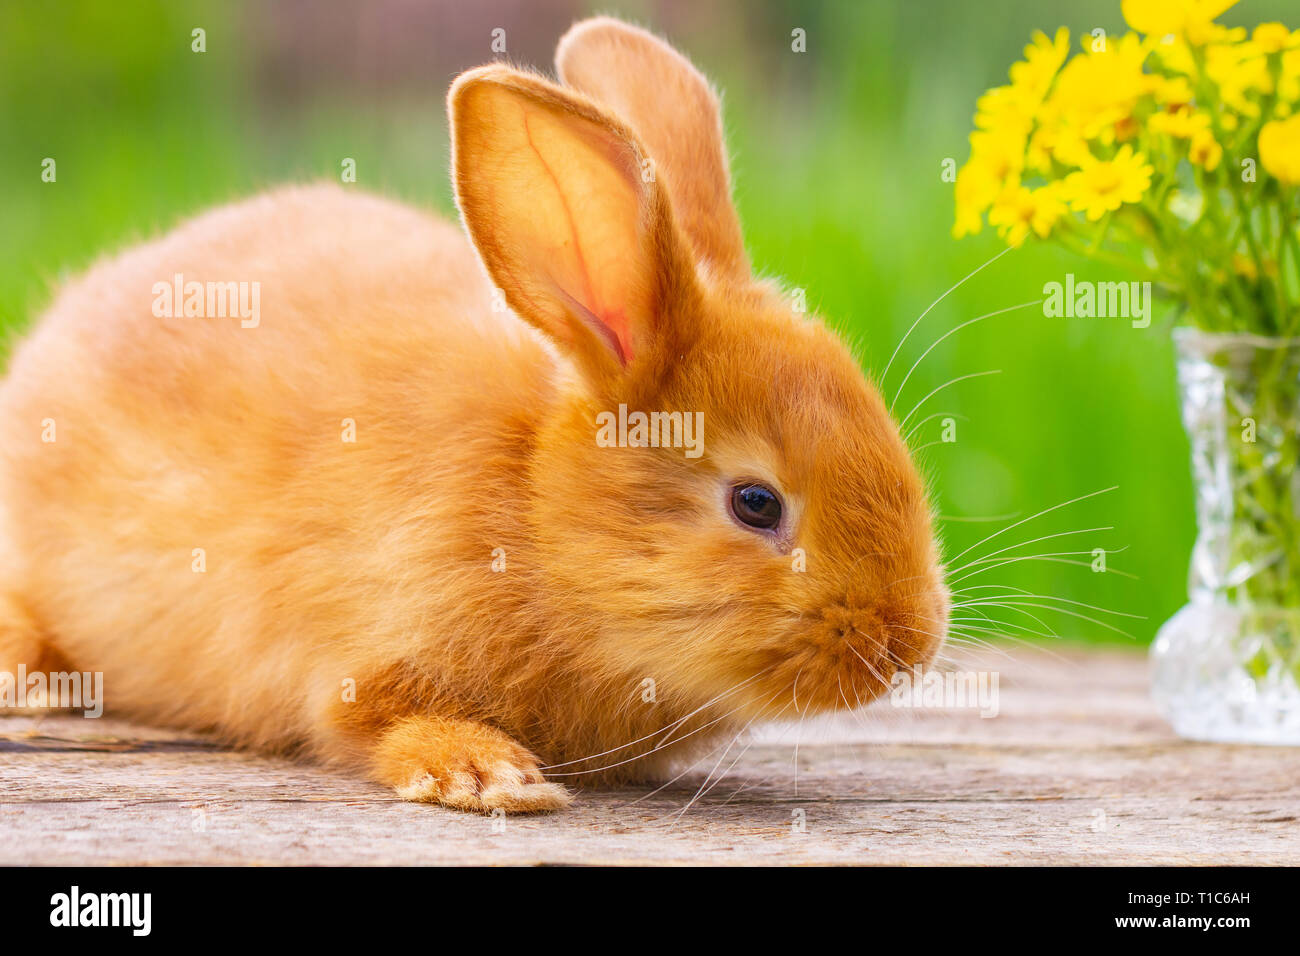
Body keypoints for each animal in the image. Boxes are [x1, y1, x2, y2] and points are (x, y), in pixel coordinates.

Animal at [0, 17, 948, 813]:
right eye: (756, 504)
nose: (907, 647)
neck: (533, 506)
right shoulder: (363, 650)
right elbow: (378, 723)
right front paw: (491, 778)